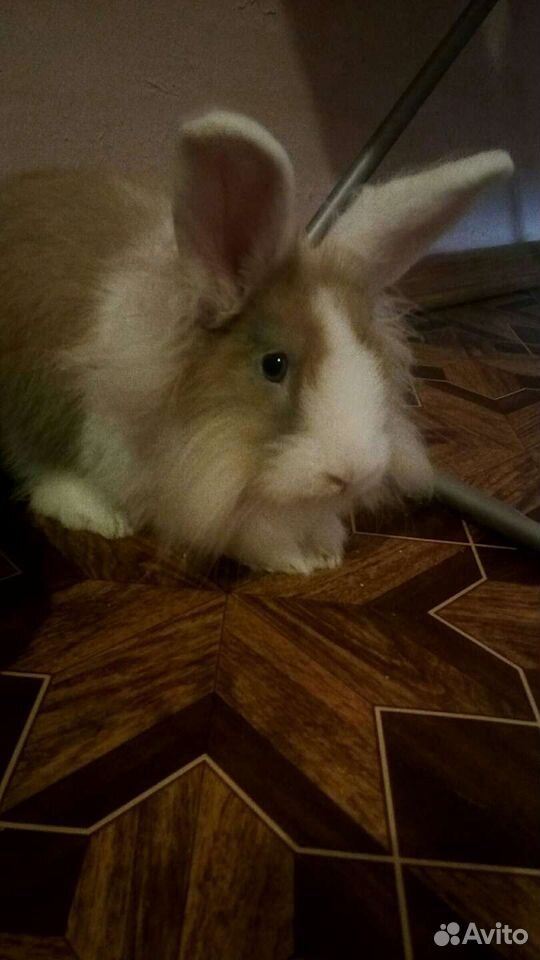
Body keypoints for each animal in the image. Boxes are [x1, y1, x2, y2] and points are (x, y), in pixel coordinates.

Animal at [0, 111, 513, 573]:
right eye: (274, 364)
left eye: (370, 351)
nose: (352, 473)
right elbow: (248, 529)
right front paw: (298, 559)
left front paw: (325, 547)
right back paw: (99, 515)